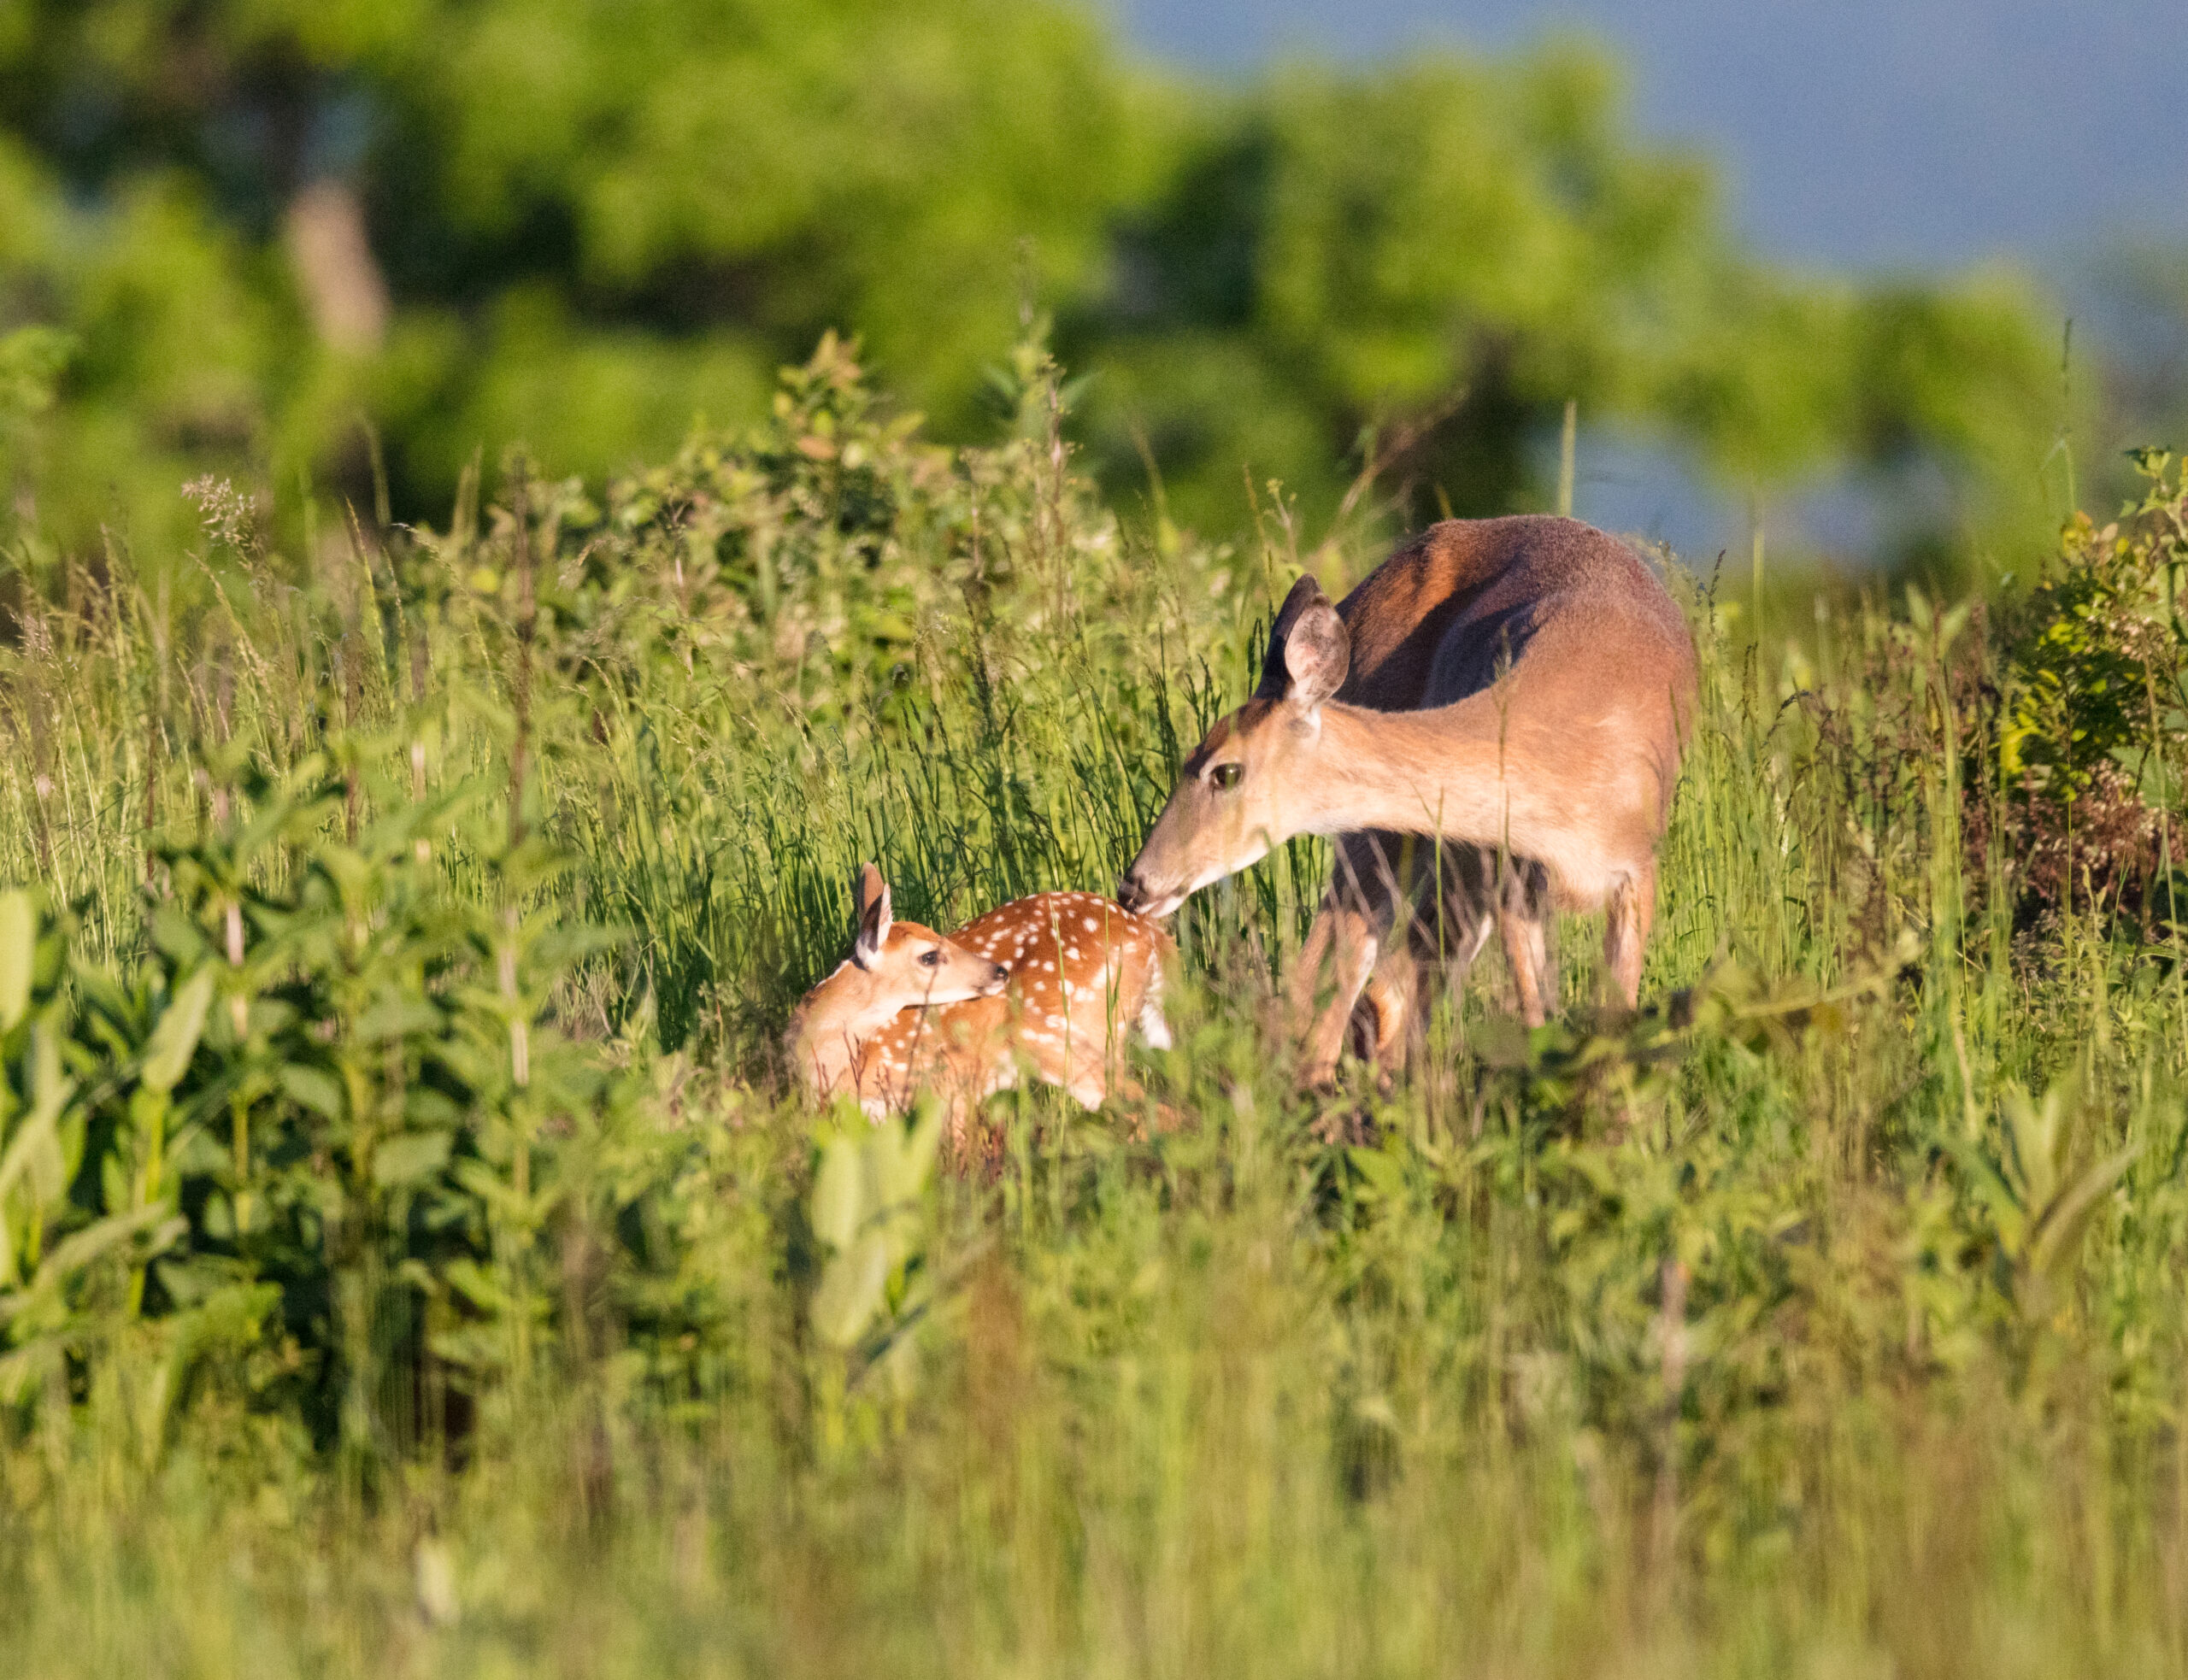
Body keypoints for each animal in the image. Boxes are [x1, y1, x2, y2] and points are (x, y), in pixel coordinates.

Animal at [1117, 514, 1697, 1087]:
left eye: (1226, 771)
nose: (1134, 885)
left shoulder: (1635, 868)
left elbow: (1606, 1027)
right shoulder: (1506, 868)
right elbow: (1537, 1017)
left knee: (1380, 983)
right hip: (1386, 839)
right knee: (1341, 979)